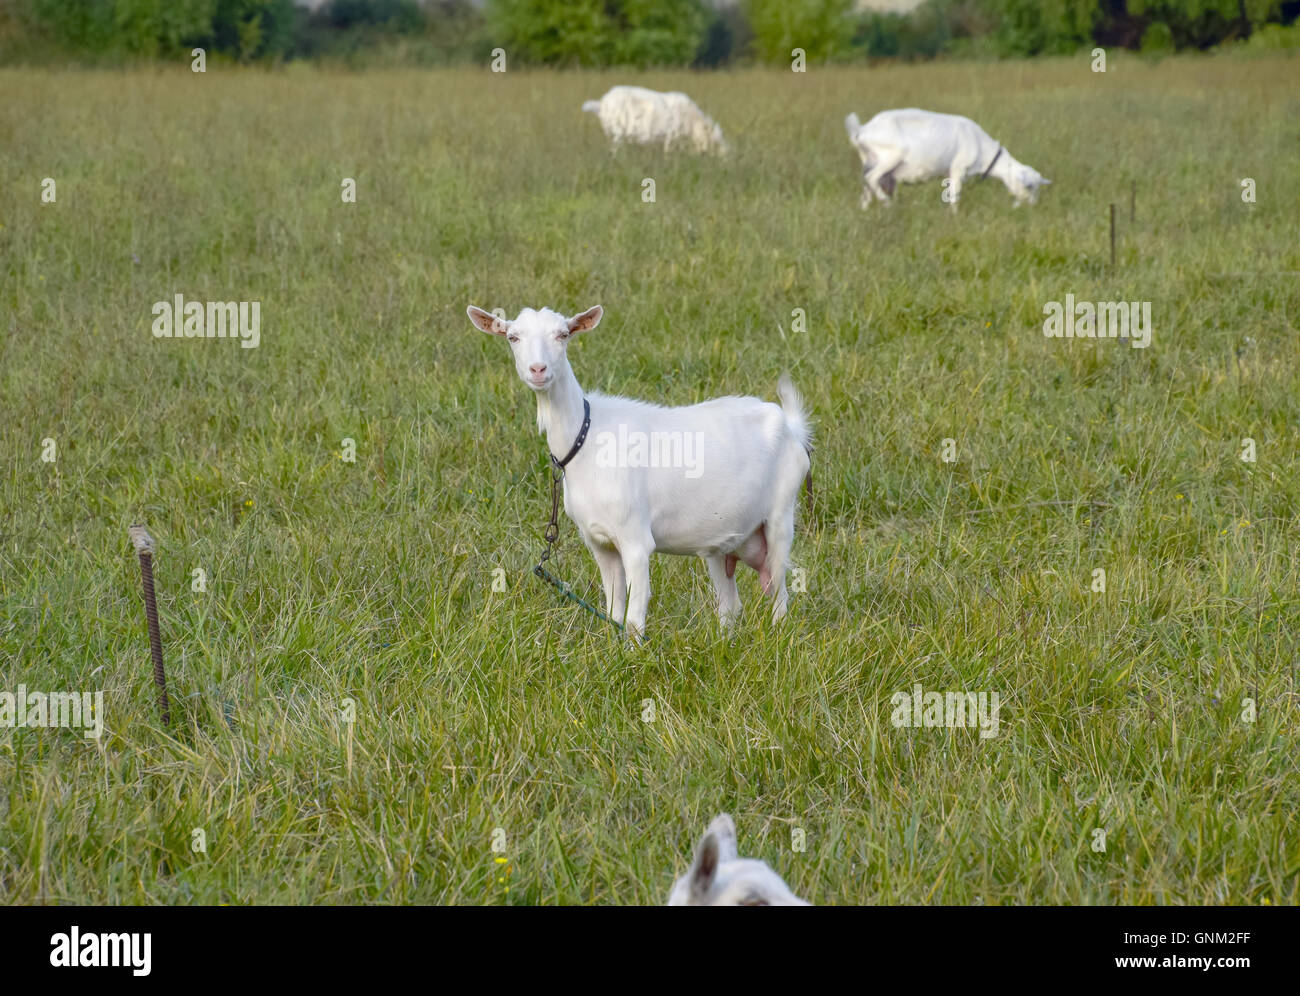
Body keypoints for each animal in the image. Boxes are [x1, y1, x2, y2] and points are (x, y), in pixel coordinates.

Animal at [466, 305, 810, 640]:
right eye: (513, 337)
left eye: (563, 334)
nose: (538, 370)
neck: (586, 437)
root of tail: (790, 425)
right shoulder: (599, 541)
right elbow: (613, 609)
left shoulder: (635, 538)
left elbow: (633, 618)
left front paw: (634, 650)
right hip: (721, 540)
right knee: (731, 604)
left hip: (780, 513)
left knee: (779, 592)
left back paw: (779, 635)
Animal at [845, 108, 1050, 211]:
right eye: (1029, 186)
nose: (1032, 208)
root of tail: (861, 131)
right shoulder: (958, 169)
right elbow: (955, 196)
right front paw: (955, 216)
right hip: (889, 158)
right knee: (871, 178)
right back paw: (887, 204)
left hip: (870, 162)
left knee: (867, 186)